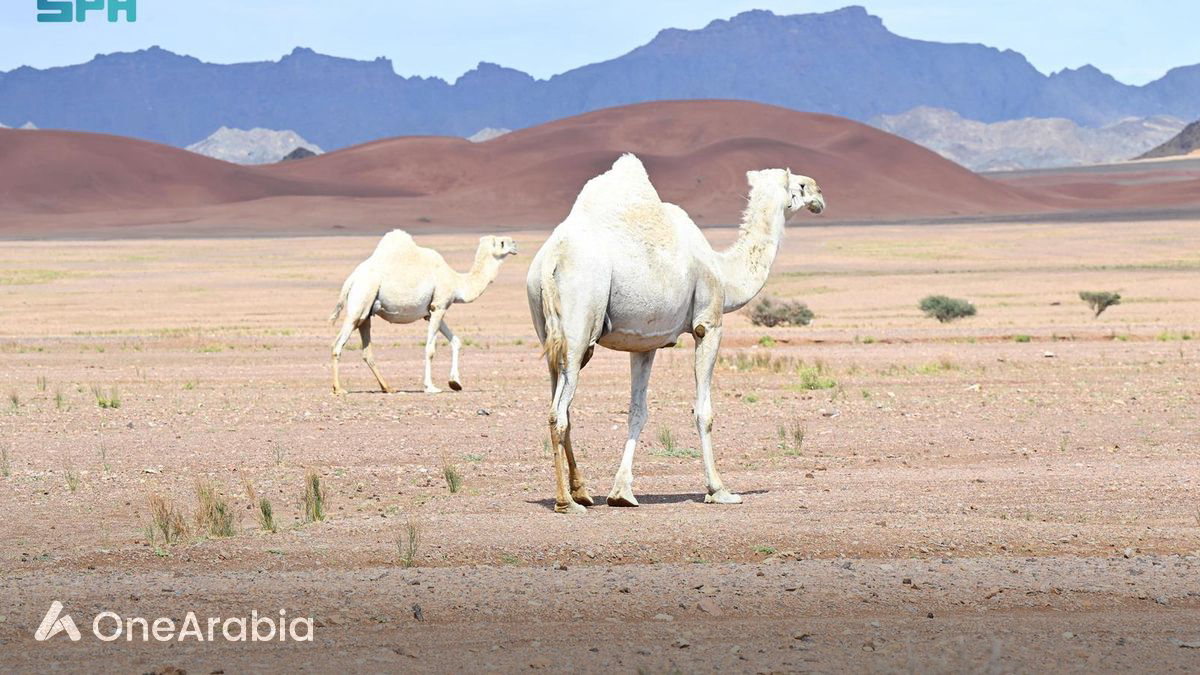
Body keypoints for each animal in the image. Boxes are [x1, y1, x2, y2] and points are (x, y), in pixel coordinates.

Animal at [331, 230, 518, 394]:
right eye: (502, 242)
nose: (516, 244)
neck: (456, 281)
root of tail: (352, 279)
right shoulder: (440, 305)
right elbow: (430, 349)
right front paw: (431, 387)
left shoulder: (431, 311)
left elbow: (456, 341)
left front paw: (455, 382)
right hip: (361, 301)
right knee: (338, 344)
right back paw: (338, 389)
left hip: (367, 312)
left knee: (367, 351)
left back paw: (388, 388)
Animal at [527, 154, 824, 513]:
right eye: (801, 186)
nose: (820, 195)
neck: (724, 273)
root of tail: (551, 259)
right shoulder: (708, 324)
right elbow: (704, 411)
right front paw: (719, 490)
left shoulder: (644, 343)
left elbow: (637, 411)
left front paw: (622, 493)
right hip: (580, 324)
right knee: (558, 413)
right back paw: (566, 502)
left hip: (548, 333)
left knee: (560, 406)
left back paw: (581, 491)